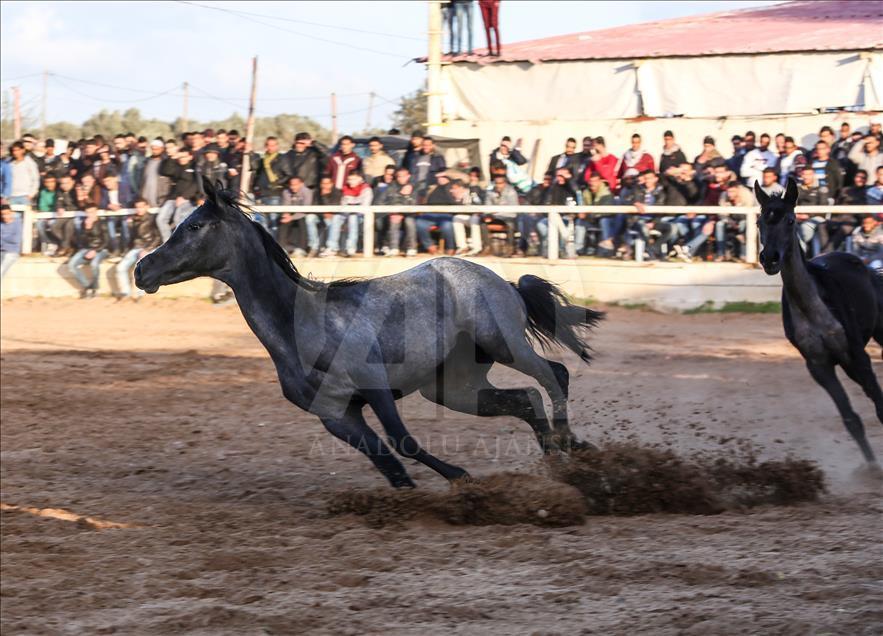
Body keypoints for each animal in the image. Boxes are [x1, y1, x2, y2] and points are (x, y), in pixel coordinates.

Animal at [135, 179, 604, 487]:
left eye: (194, 226)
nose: (142, 269)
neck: (302, 326)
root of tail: (501, 280)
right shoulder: (335, 415)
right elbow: (388, 464)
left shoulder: (376, 387)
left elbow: (403, 442)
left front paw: (460, 476)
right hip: (453, 386)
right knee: (525, 399)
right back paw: (556, 459)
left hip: (503, 343)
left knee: (554, 375)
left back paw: (571, 445)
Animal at [755, 178, 883, 466]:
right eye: (759, 221)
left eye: (791, 220)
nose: (770, 258)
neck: (811, 307)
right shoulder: (819, 366)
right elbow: (851, 420)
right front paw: (871, 467)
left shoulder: (857, 356)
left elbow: (880, 404)